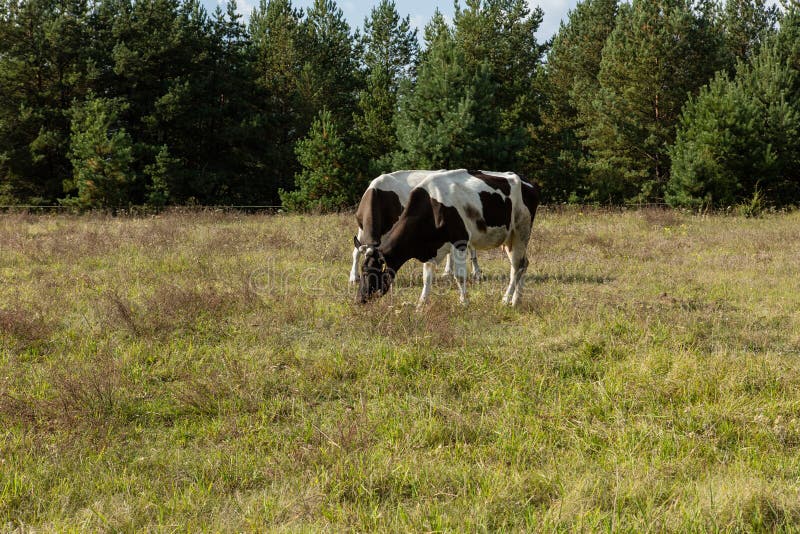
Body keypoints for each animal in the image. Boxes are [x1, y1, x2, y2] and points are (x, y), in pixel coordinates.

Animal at [350, 170, 481, 284]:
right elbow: (356, 252)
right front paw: (353, 278)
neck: (377, 194)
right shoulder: (361, 227)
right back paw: (447, 272)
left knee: (472, 248)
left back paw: (476, 273)